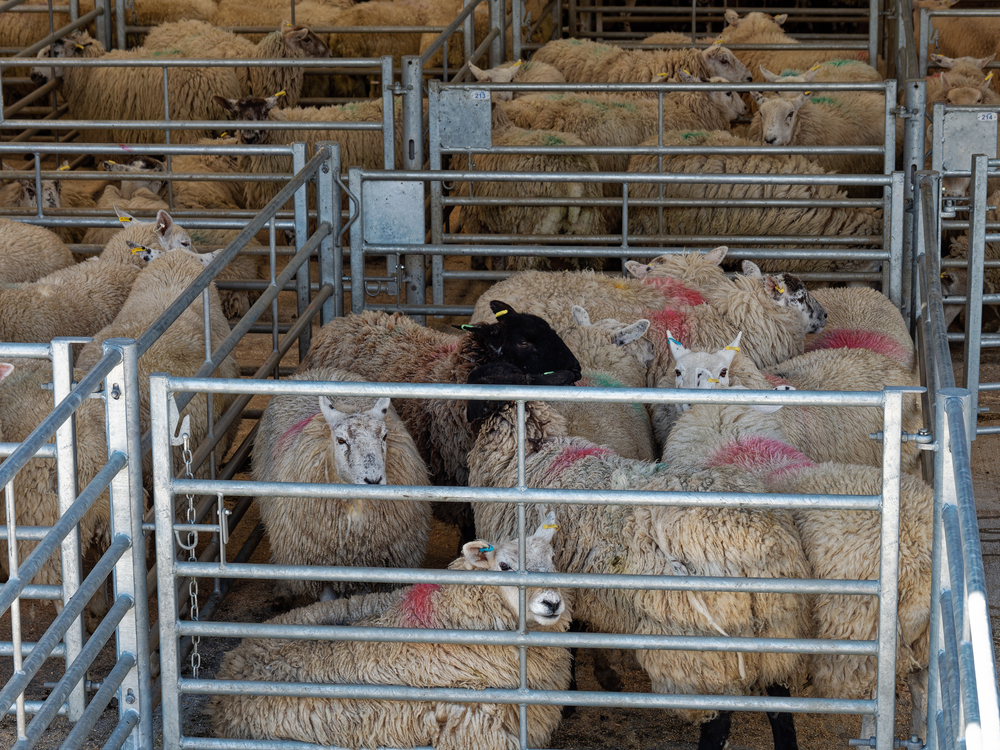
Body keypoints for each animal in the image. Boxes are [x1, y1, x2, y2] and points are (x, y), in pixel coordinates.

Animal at [253, 366, 431, 604]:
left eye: (385, 436)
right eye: (340, 440)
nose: (373, 481)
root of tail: (317, 372)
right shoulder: (320, 566)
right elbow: (328, 602)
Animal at [466, 362, 811, 750]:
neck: (529, 454)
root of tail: (760, 535)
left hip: (702, 646)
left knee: (718, 719)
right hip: (777, 625)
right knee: (780, 702)